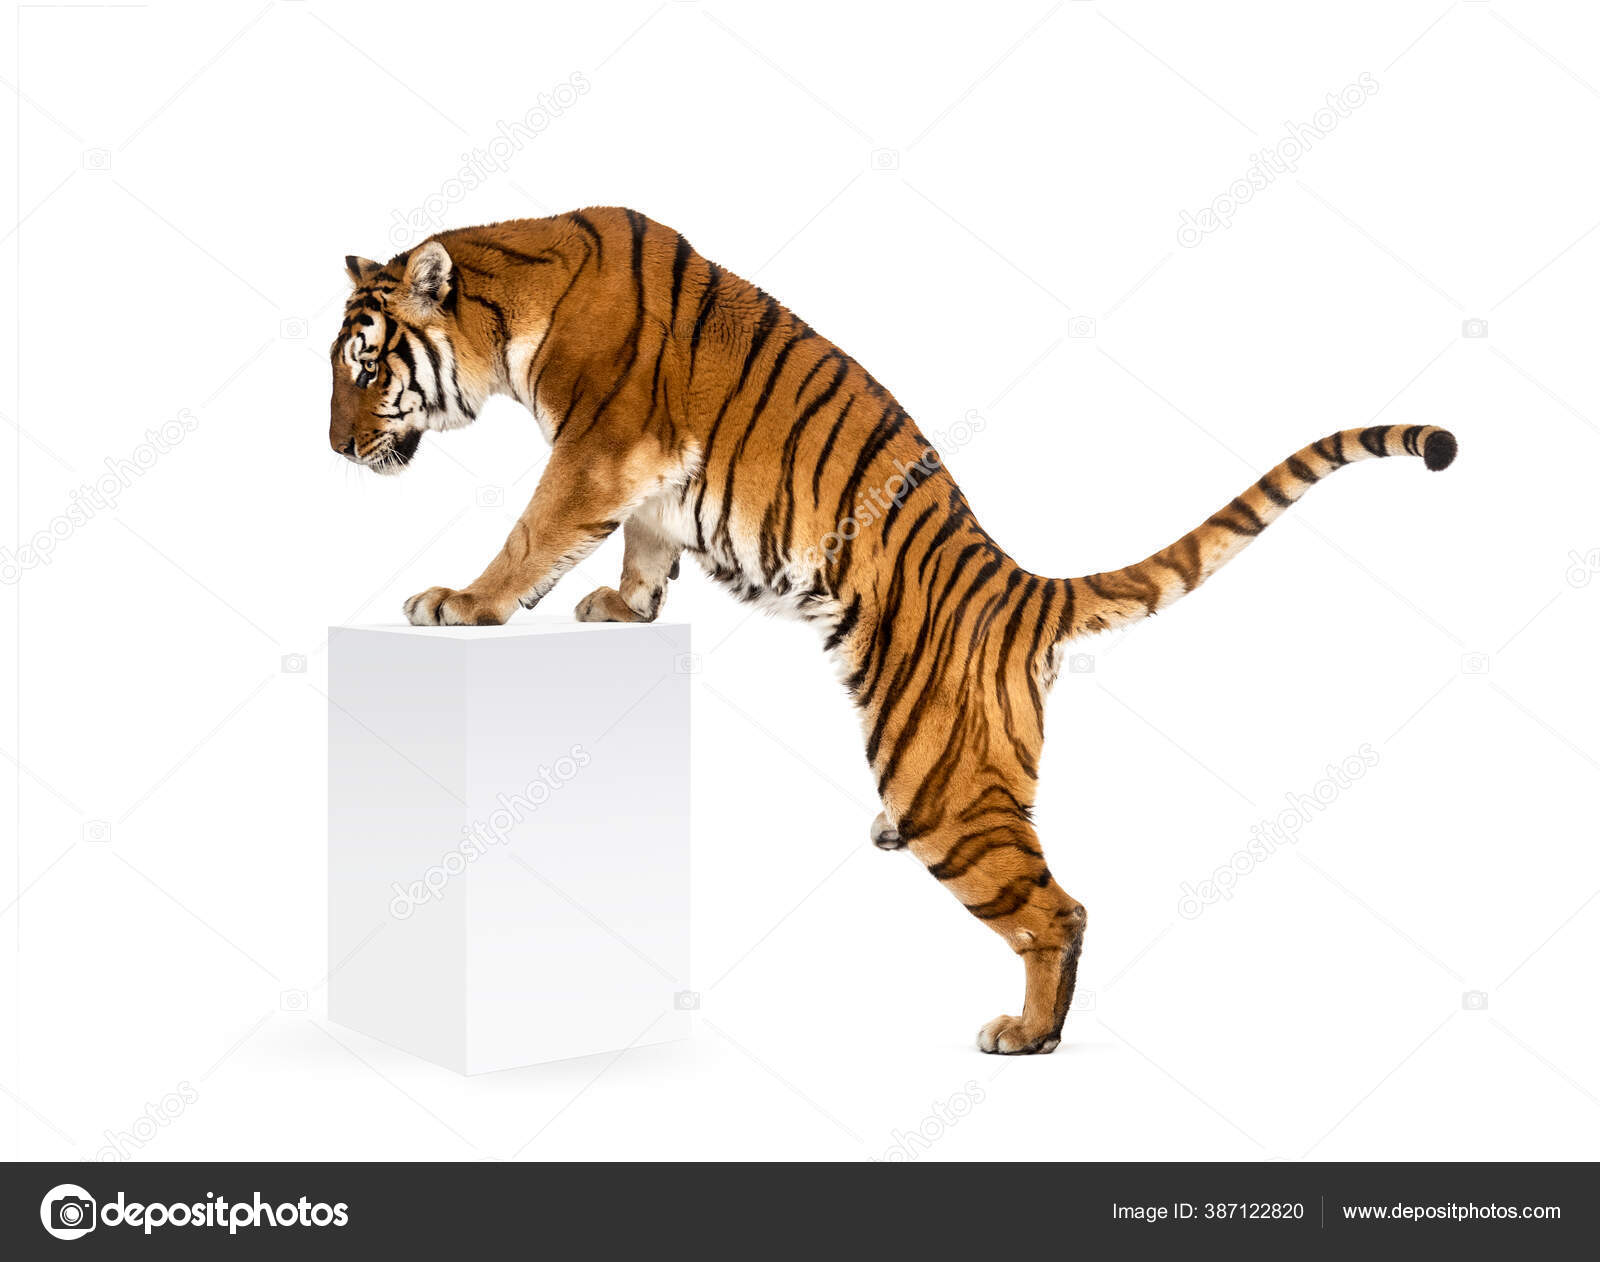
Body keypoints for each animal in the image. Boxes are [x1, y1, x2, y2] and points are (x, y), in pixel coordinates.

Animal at [330, 207, 1458, 1055]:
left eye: (366, 367)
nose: (335, 449)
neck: (510, 300)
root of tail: (1020, 585)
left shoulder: (597, 445)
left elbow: (533, 532)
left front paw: (462, 602)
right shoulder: (645, 478)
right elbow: (643, 545)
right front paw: (623, 607)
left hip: (940, 787)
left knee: (1058, 908)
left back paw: (1028, 1035)